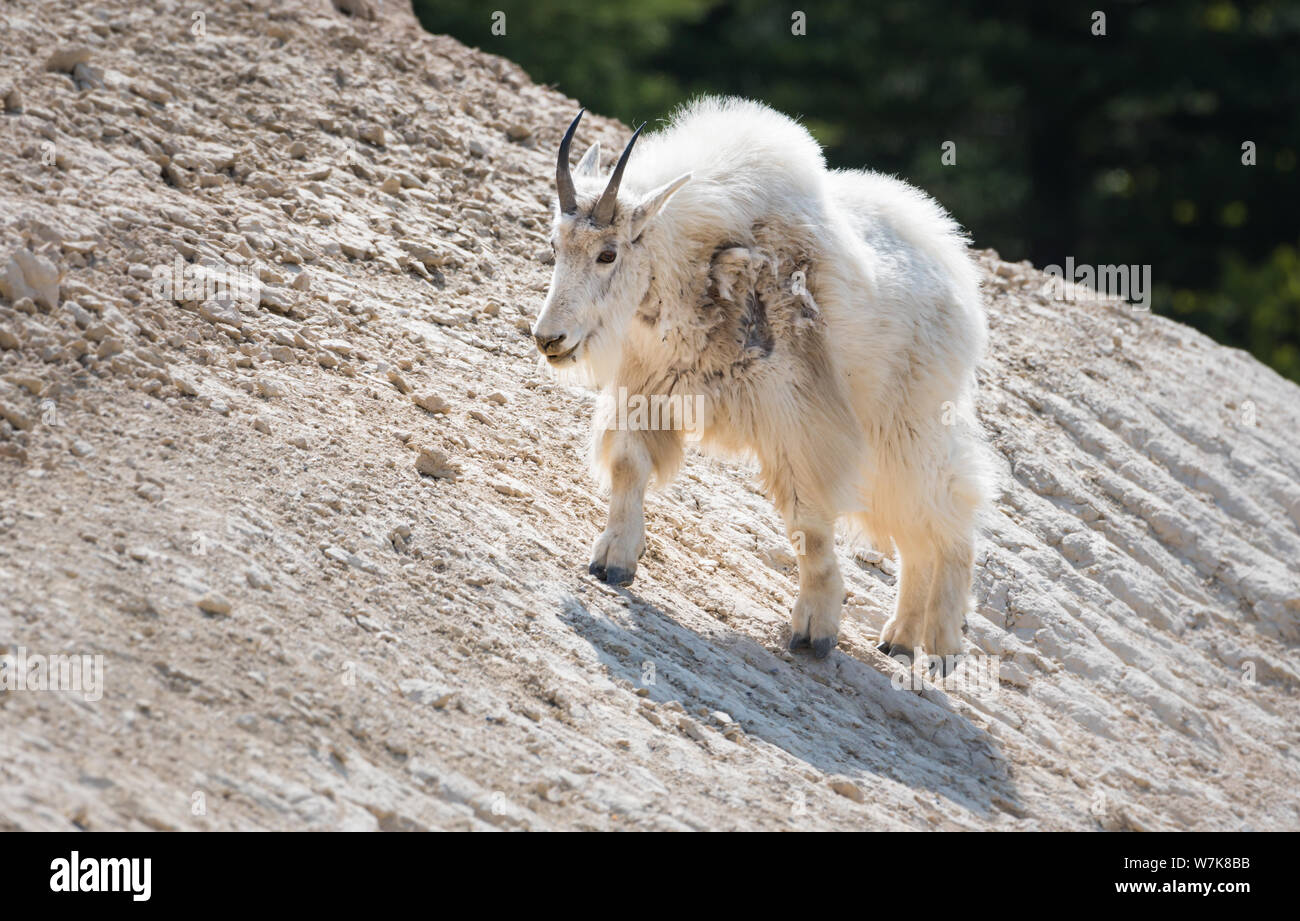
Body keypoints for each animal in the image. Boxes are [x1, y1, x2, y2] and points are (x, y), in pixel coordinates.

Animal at [531, 97, 988, 666]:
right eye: (555, 245)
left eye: (608, 253)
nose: (548, 338)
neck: (699, 270)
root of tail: (955, 270)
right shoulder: (645, 387)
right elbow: (628, 466)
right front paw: (613, 560)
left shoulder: (797, 417)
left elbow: (807, 519)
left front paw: (815, 630)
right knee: (915, 530)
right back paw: (899, 639)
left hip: (907, 422)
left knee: (948, 513)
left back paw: (942, 646)